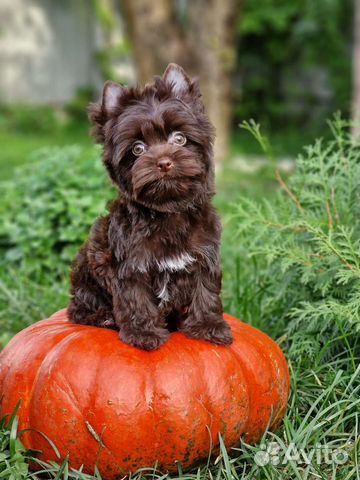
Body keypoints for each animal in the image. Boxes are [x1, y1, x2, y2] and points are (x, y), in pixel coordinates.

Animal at [69, 62, 233, 348]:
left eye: (179, 139)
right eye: (137, 149)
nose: (164, 162)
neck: (168, 212)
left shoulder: (205, 255)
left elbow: (206, 291)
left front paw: (208, 326)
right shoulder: (131, 265)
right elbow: (135, 298)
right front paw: (143, 333)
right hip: (85, 271)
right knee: (79, 308)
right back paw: (102, 318)